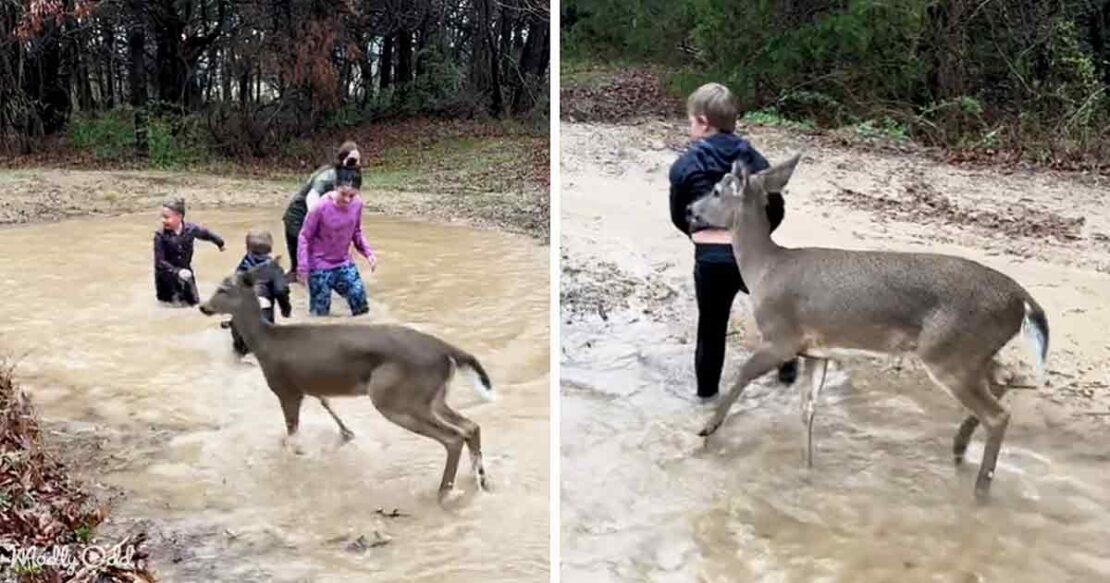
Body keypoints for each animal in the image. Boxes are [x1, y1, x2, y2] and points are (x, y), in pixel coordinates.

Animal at [198, 259, 495, 503]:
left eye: (224, 289)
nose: (203, 306)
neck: (266, 344)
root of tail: (446, 351)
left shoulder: (286, 388)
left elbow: (292, 434)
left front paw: (294, 456)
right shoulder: (311, 384)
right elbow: (328, 407)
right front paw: (347, 433)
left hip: (395, 395)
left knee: (453, 436)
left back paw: (445, 492)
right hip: (433, 396)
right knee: (471, 426)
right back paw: (479, 479)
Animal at [686, 154, 1049, 501]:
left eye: (716, 190)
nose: (690, 209)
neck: (765, 269)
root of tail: (1022, 299)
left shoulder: (781, 336)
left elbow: (745, 372)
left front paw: (707, 427)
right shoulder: (816, 350)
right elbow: (807, 410)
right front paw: (806, 472)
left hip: (950, 352)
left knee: (998, 414)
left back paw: (979, 489)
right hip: (973, 349)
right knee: (1005, 377)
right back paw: (960, 450)